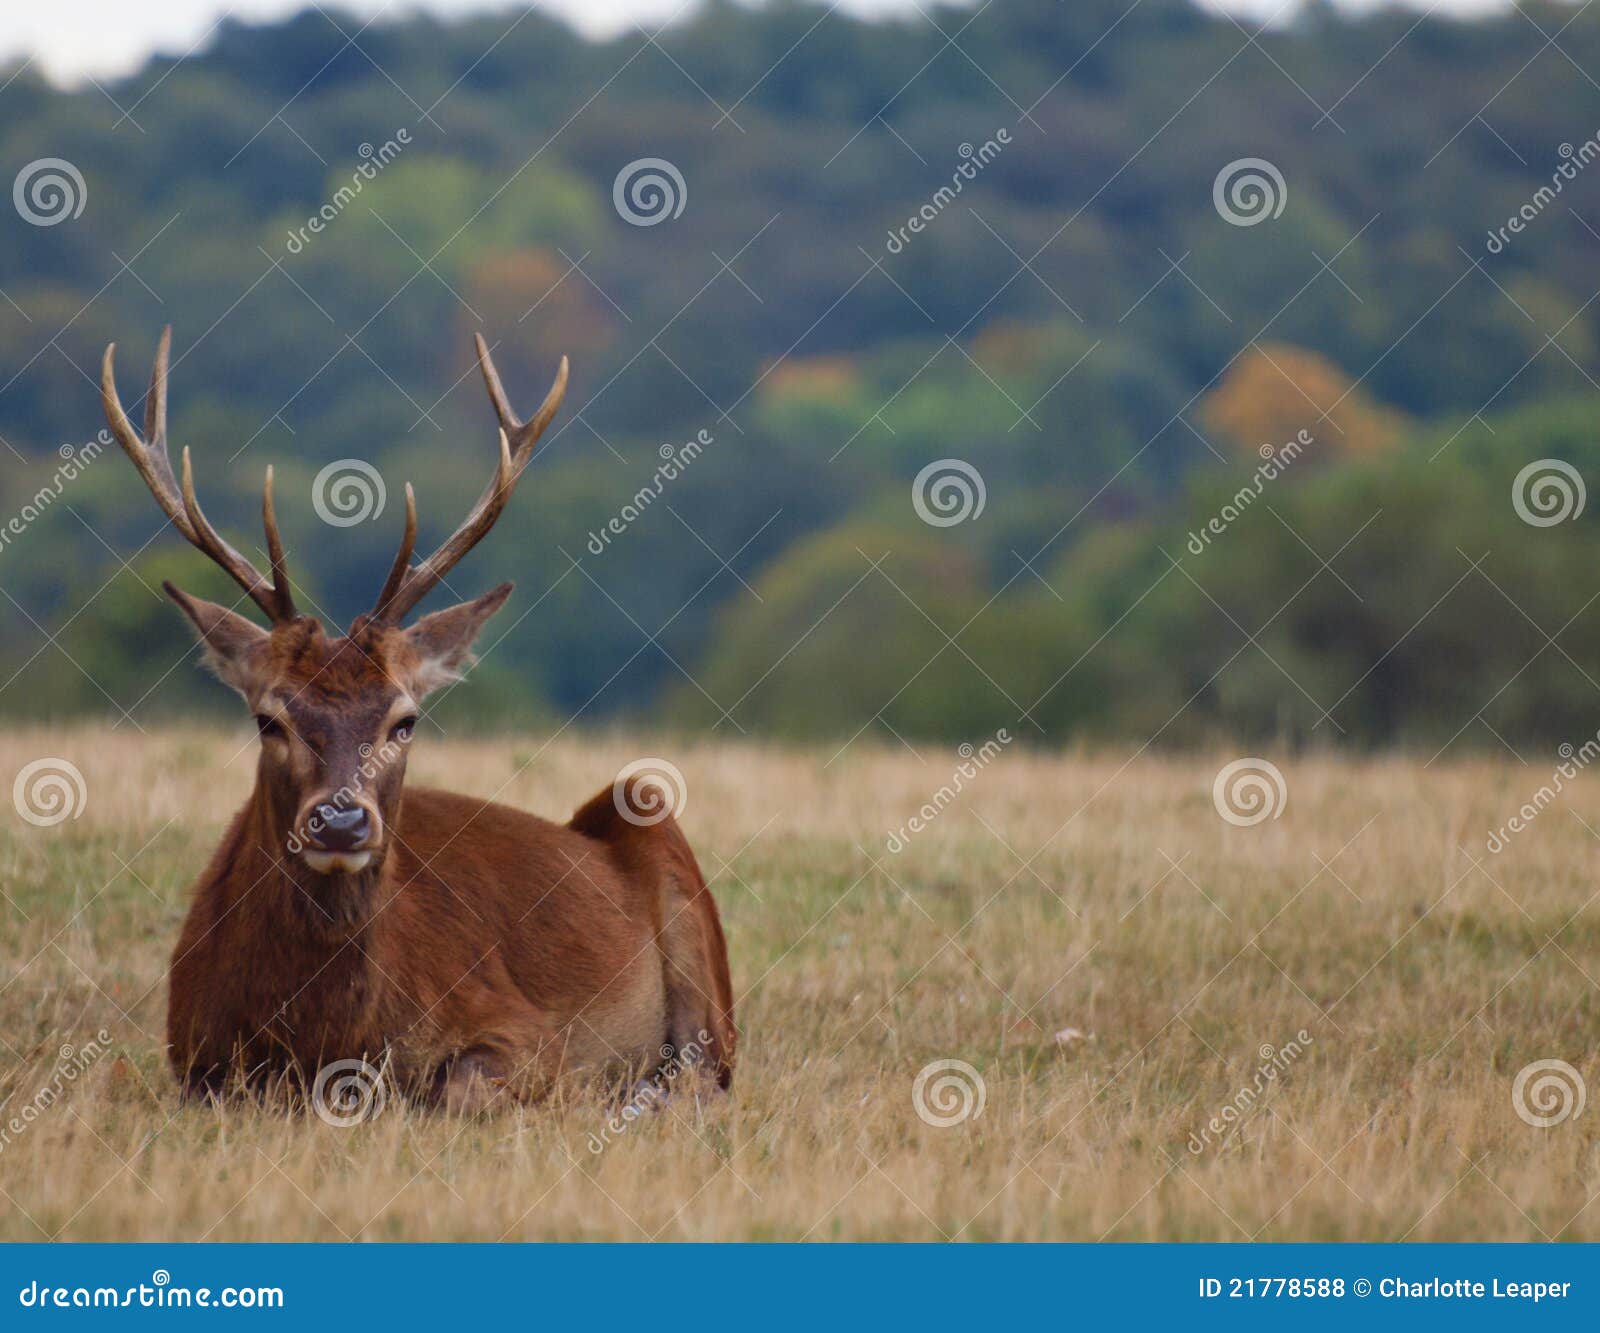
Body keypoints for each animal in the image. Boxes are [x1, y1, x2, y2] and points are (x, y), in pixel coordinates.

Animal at [100, 327, 735, 1112]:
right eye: (268, 719)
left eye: (405, 720)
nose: (341, 821)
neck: (326, 1045)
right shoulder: (189, 1056)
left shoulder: (529, 1035)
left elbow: (456, 1090)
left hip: (666, 851)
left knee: (706, 1072)